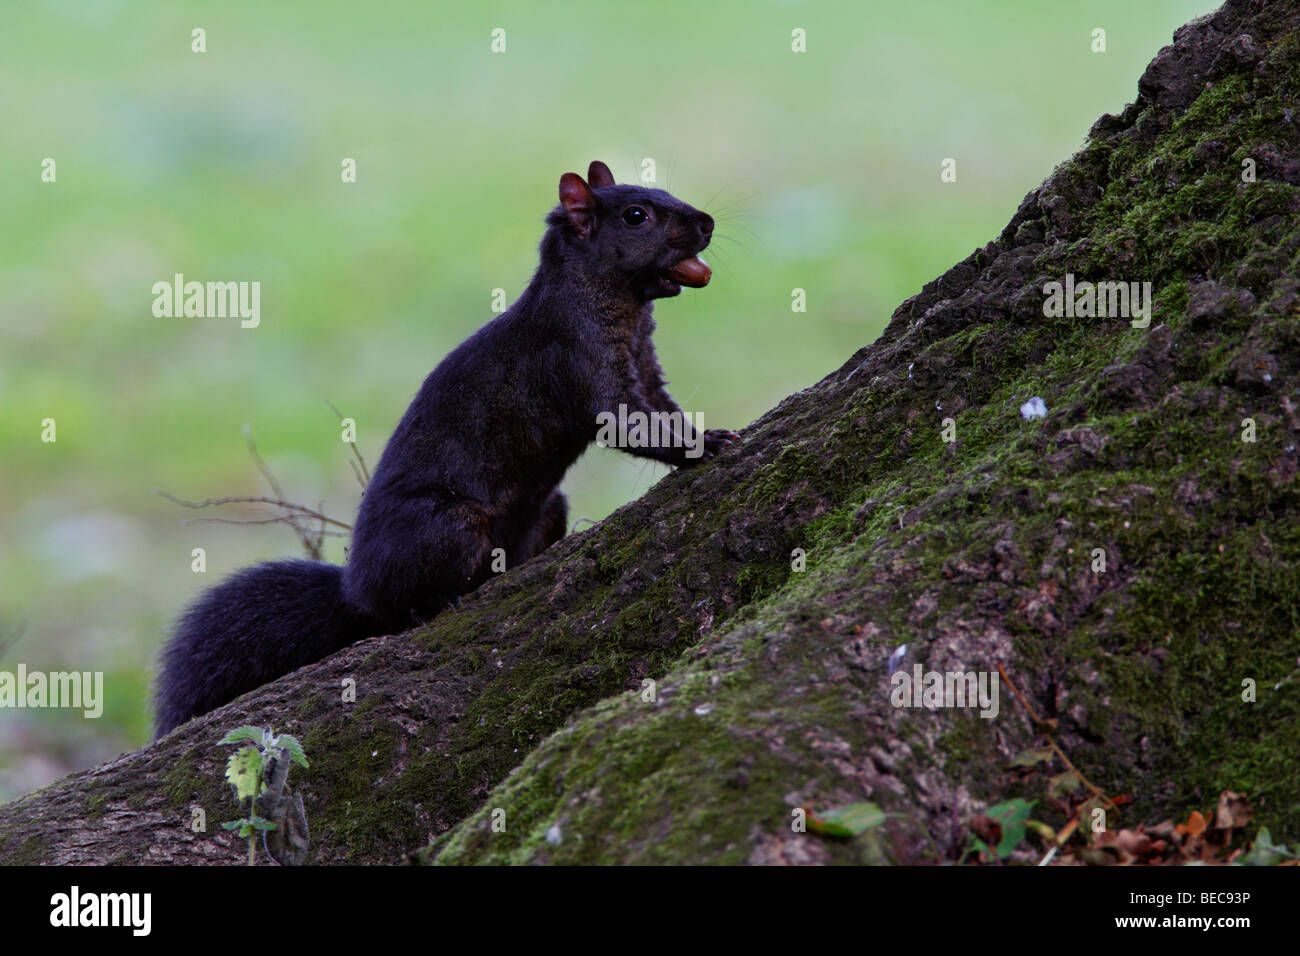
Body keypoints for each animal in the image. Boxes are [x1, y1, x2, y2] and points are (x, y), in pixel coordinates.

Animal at [154, 161, 738, 736]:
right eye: (637, 216)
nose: (708, 223)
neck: (615, 302)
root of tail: (354, 590)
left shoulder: (645, 366)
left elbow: (662, 409)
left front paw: (709, 434)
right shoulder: (578, 358)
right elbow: (629, 425)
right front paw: (703, 448)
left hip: (546, 510)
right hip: (449, 524)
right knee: (397, 610)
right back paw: (432, 605)